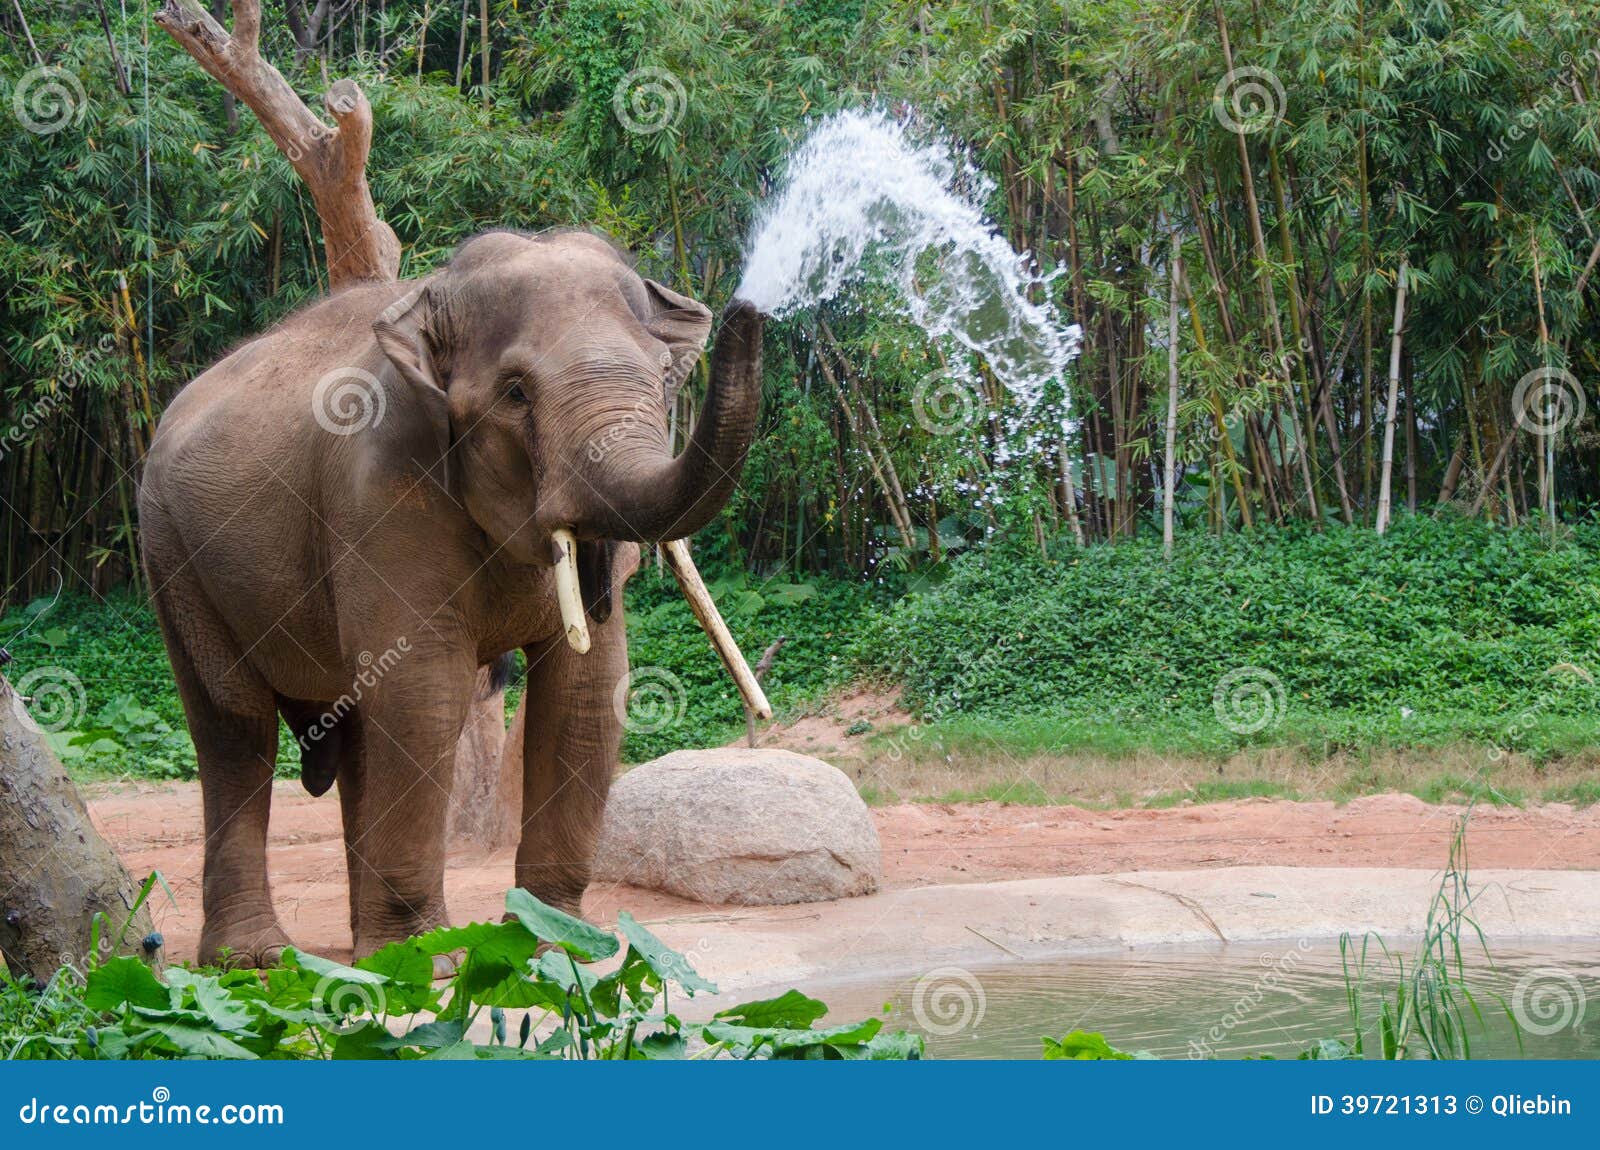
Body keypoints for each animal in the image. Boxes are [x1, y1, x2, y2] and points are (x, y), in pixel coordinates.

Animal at [137, 229, 764, 969]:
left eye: (666, 379)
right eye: (516, 392)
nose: (751, 309)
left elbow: (587, 689)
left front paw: (556, 944)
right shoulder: (381, 489)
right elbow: (422, 690)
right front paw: (426, 959)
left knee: (351, 734)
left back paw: (362, 948)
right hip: (172, 554)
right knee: (236, 729)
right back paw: (260, 958)